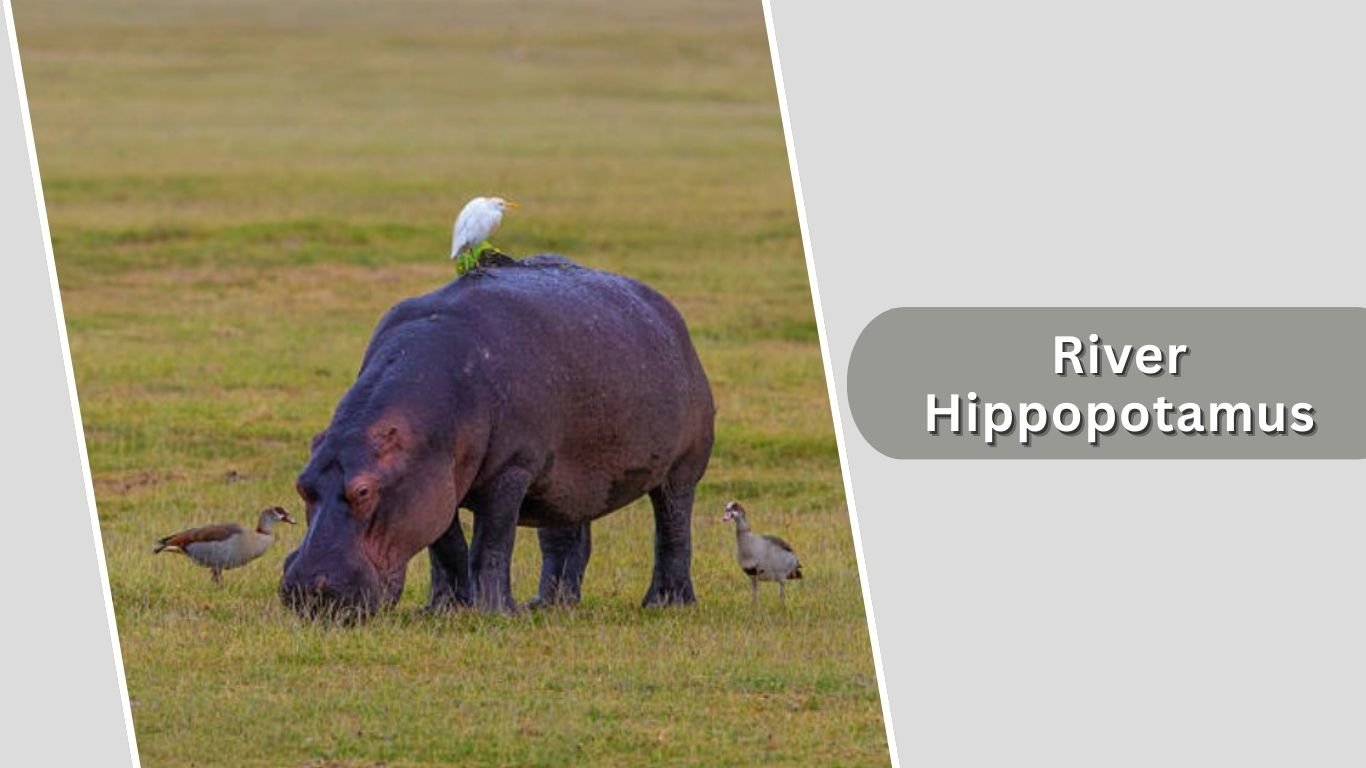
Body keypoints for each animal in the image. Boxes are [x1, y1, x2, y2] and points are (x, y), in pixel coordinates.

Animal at [281, 255, 715, 617]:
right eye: (302, 485)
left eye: (364, 490)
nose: (306, 589)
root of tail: (666, 312)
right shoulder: (435, 482)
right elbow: (446, 547)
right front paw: (445, 610)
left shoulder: (512, 468)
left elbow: (492, 541)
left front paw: (495, 612)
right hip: (565, 480)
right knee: (563, 536)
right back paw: (548, 605)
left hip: (681, 468)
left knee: (672, 528)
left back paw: (666, 604)